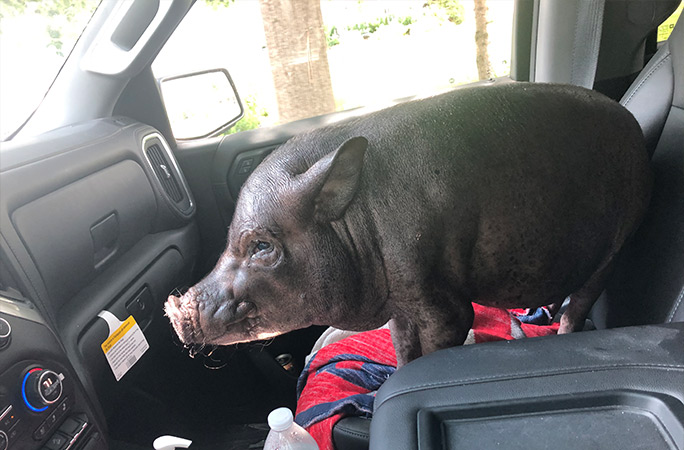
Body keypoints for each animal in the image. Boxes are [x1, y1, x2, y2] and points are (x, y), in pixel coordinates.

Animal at [165, 82, 652, 367]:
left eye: (262, 246)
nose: (174, 307)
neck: (358, 225)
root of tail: (634, 123)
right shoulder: (400, 301)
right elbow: (403, 347)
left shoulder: (439, 298)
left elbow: (445, 334)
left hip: (617, 246)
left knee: (579, 306)